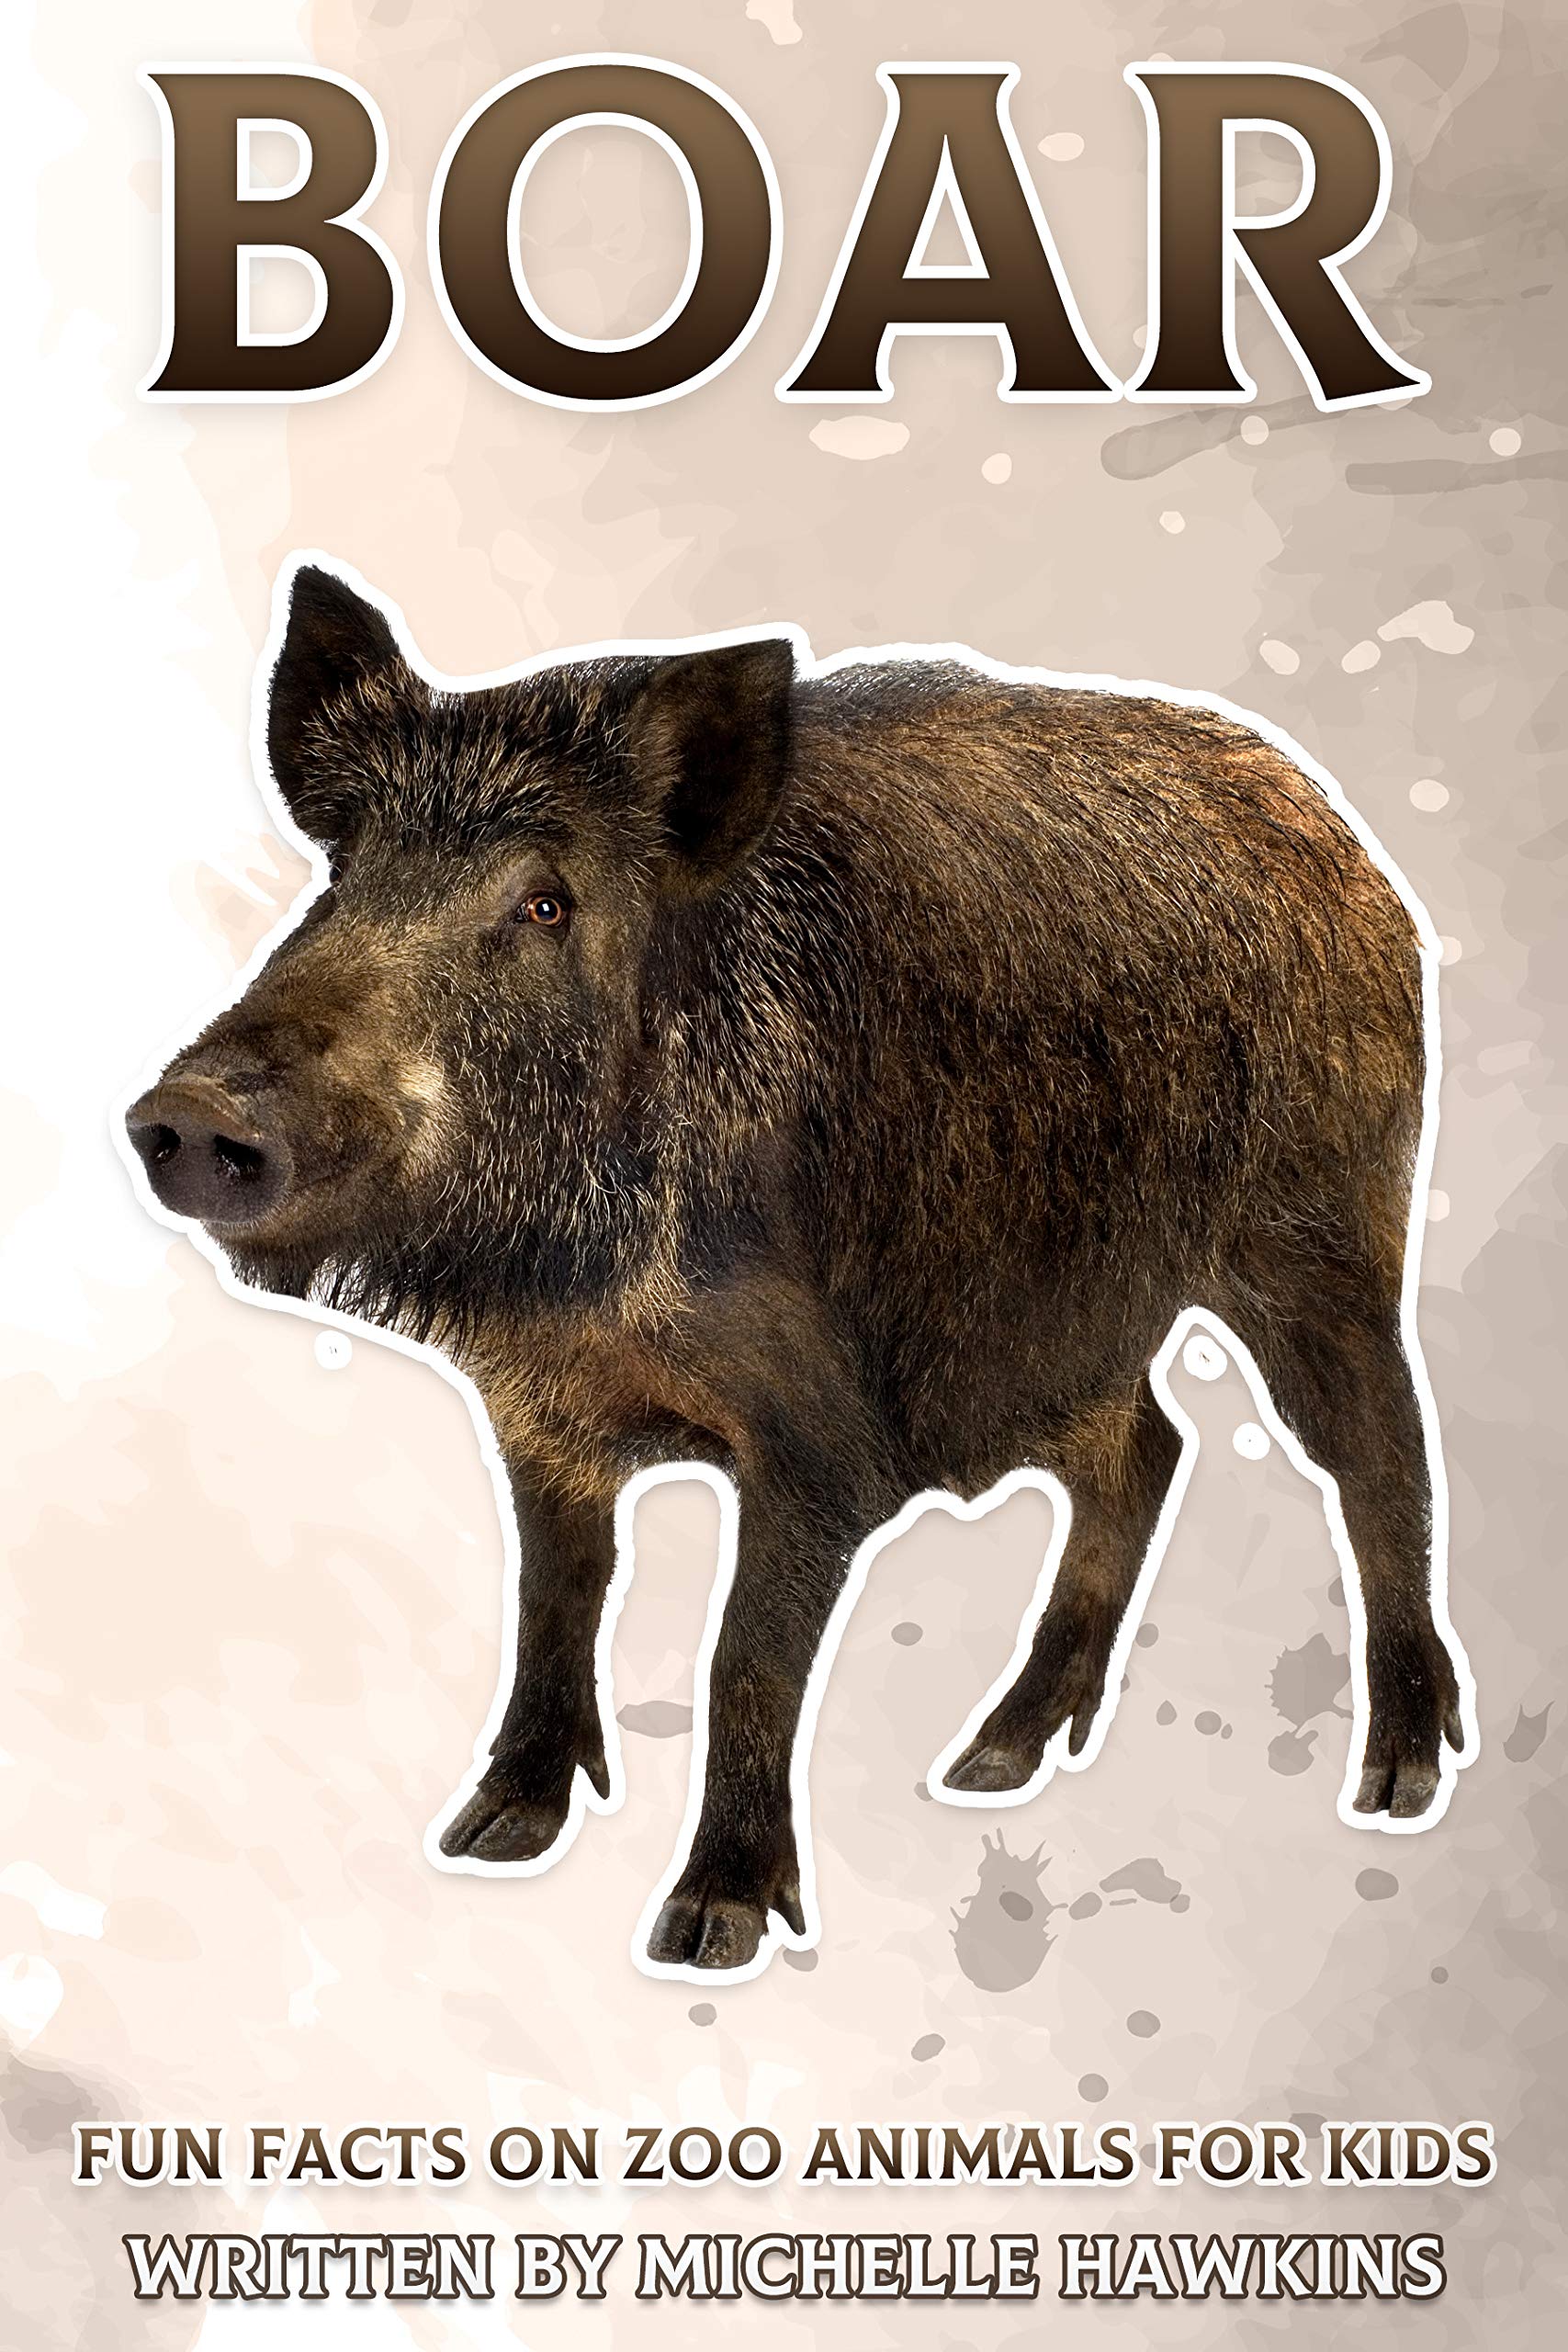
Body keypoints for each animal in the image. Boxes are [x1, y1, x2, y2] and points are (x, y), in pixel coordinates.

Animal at [126, 564, 1468, 1972]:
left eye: (545, 902)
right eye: (340, 880)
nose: (194, 1115)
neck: (585, 1288)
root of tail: (1352, 851)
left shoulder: (818, 1433)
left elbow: (747, 1656)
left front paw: (705, 1931)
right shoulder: (537, 1407)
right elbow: (554, 1596)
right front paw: (487, 1837)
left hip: (1319, 1231)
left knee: (1380, 1452)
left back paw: (1394, 1784)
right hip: (1067, 1316)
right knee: (1149, 1446)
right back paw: (988, 1765)